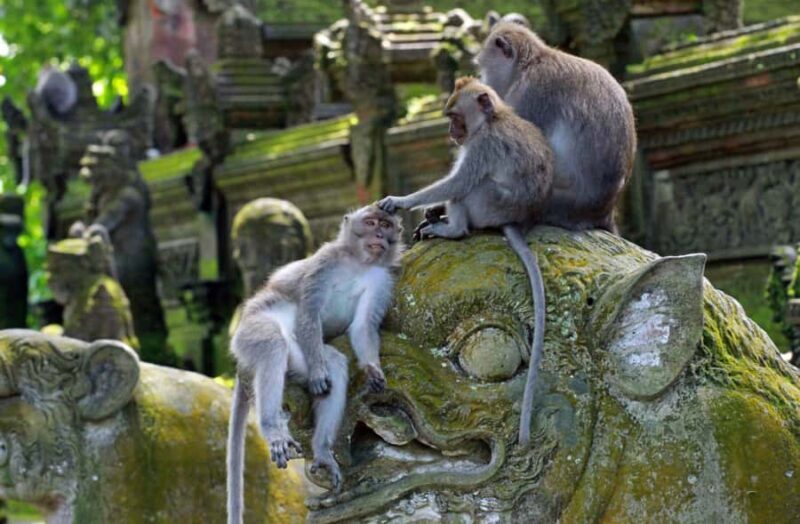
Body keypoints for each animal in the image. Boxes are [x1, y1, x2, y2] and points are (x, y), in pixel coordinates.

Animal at [226, 205, 403, 524]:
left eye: (385, 225)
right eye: (370, 222)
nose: (379, 236)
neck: (357, 263)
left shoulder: (382, 279)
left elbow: (362, 327)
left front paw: (373, 369)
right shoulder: (325, 262)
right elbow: (309, 313)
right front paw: (322, 373)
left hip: (300, 356)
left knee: (334, 362)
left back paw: (321, 450)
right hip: (251, 331)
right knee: (273, 344)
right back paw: (272, 428)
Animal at [377, 77, 552, 447]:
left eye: (455, 116)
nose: (451, 132)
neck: (492, 120)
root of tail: (516, 220)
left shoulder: (481, 146)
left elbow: (458, 181)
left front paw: (402, 201)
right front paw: (429, 209)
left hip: (488, 204)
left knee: (469, 187)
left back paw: (453, 228)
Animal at [477, 21, 636, 233]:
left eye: (484, 68)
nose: (484, 82)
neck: (530, 63)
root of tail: (604, 212)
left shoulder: (530, 94)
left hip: (555, 203)